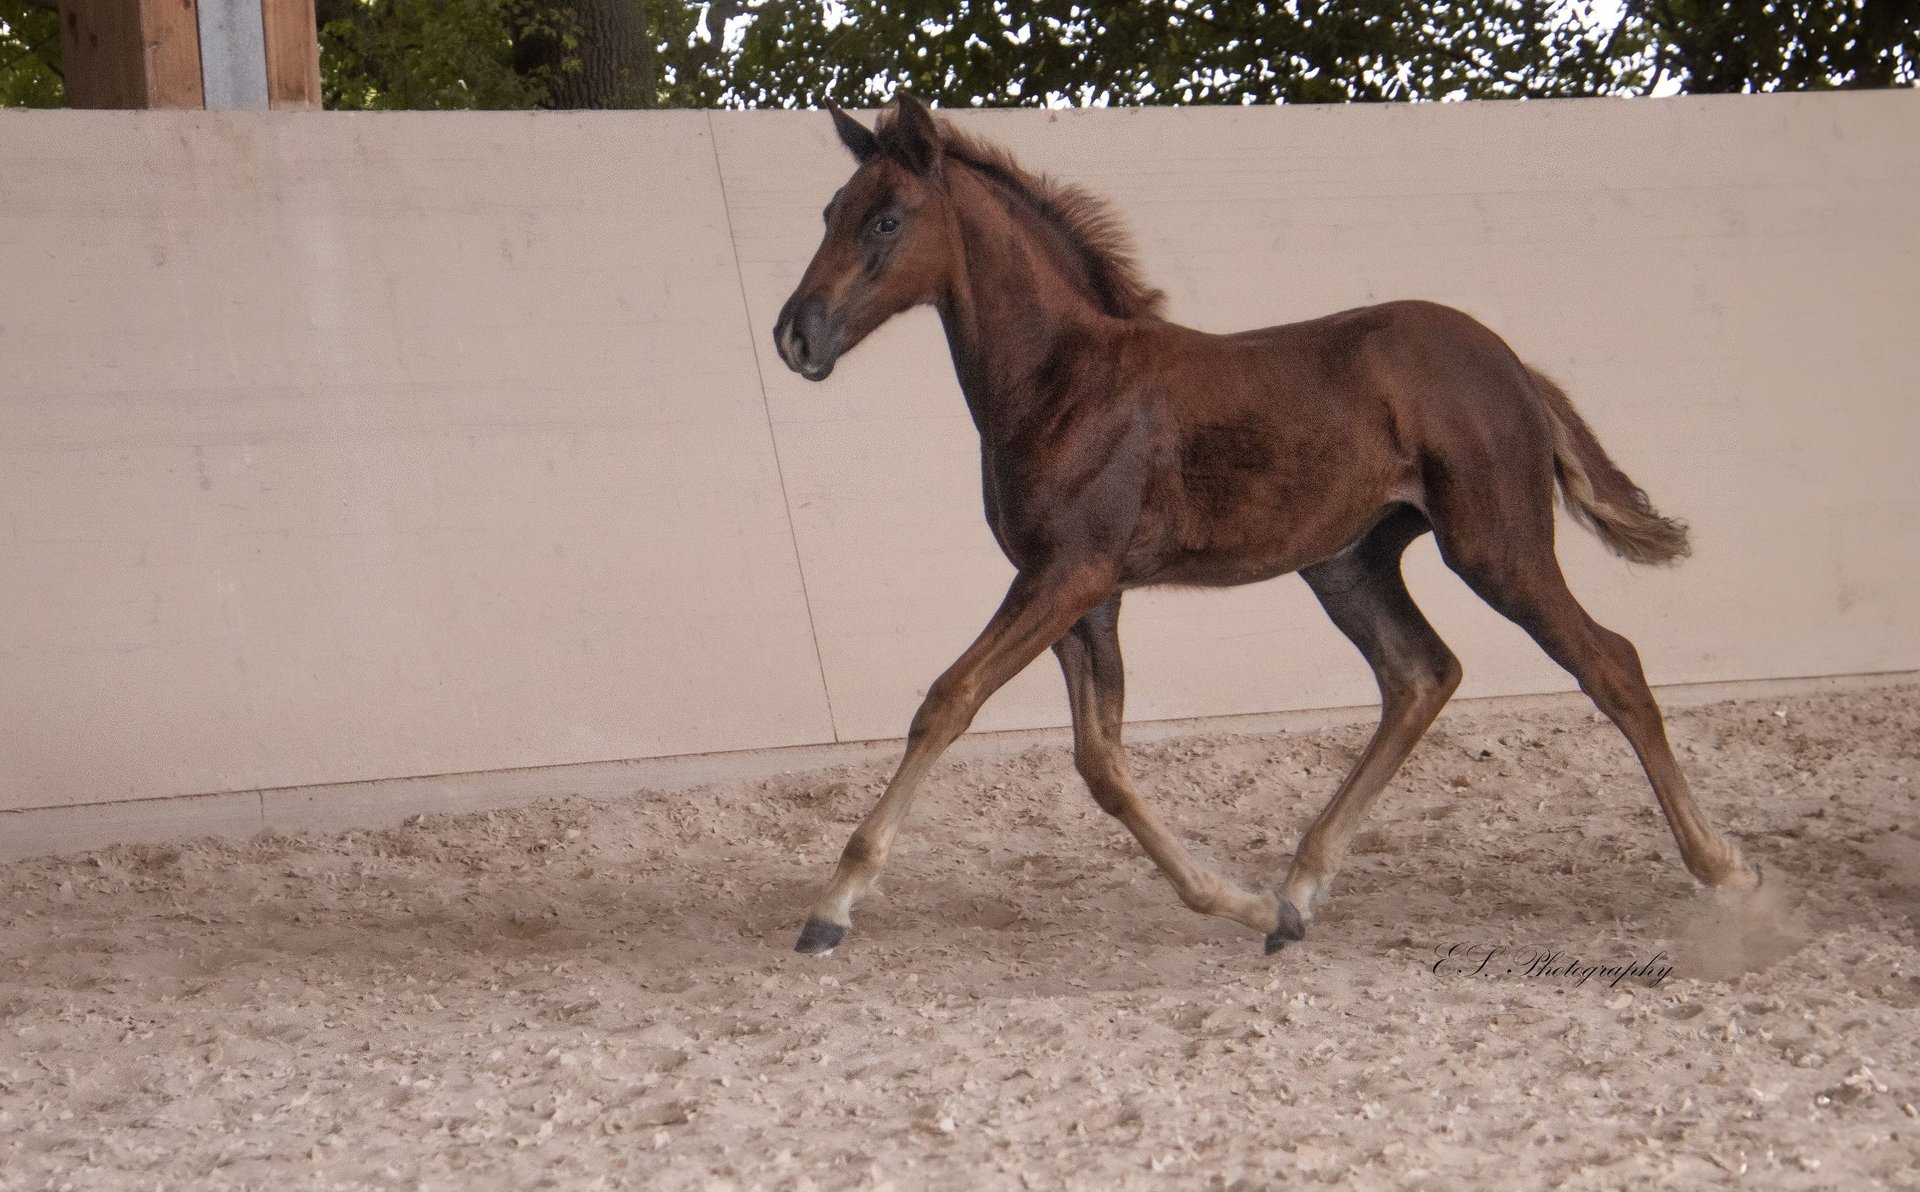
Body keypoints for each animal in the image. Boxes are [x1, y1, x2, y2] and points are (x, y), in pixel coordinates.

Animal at [771, 94, 1758, 956]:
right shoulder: (1081, 594)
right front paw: (1245, 906)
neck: (1065, 376)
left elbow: (949, 702)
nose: (795, 337)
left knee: (1610, 664)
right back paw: (1300, 889)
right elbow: (1101, 761)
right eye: (826, 211)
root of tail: (1515, 367)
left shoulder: (1067, 576)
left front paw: (833, 904)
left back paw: (1725, 869)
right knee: (1421, 673)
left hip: (1496, 547)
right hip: (1348, 563)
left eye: (886, 220)